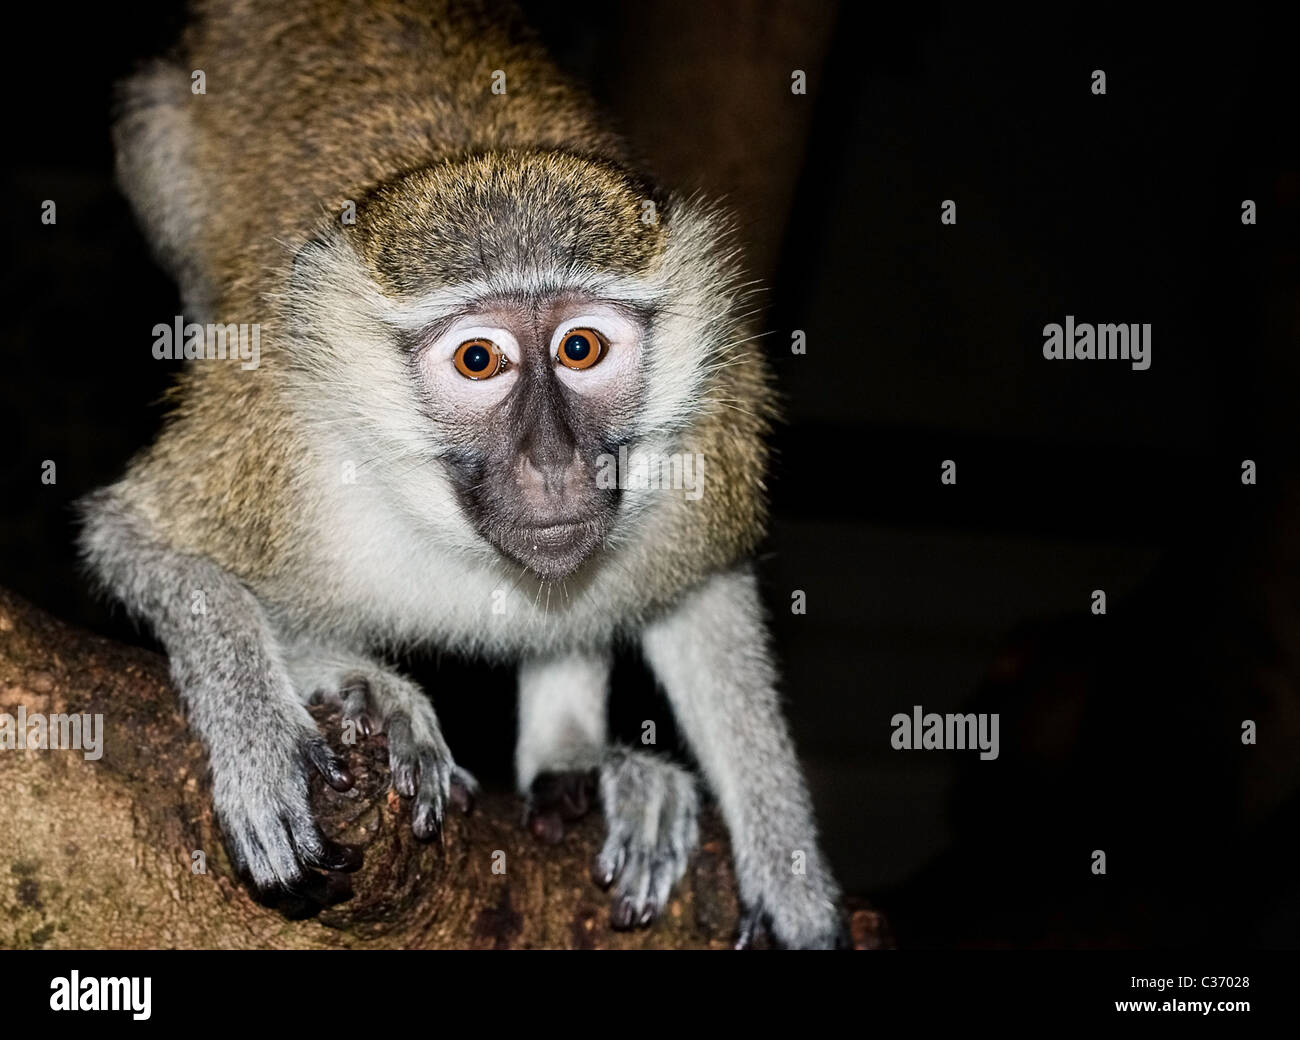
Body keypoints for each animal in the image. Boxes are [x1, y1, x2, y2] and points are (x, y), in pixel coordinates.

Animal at [80, 0, 844, 947]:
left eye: (580, 349)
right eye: (480, 360)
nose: (553, 464)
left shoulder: (714, 413)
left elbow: (703, 591)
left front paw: (787, 869)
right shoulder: (272, 438)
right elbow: (141, 545)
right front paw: (290, 713)